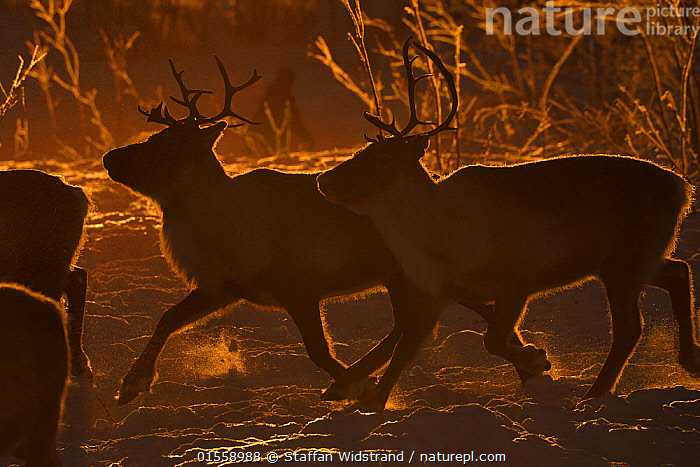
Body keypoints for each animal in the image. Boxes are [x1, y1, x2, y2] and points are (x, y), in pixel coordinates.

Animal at [317, 37, 700, 412]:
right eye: (361, 151)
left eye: (383, 159)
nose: (324, 178)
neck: (437, 233)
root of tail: (681, 187)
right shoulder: (437, 292)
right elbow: (404, 350)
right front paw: (370, 403)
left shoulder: (517, 280)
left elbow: (491, 341)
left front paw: (537, 358)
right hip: (635, 258)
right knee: (678, 271)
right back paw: (688, 362)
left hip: (625, 261)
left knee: (630, 327)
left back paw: (594, 396)